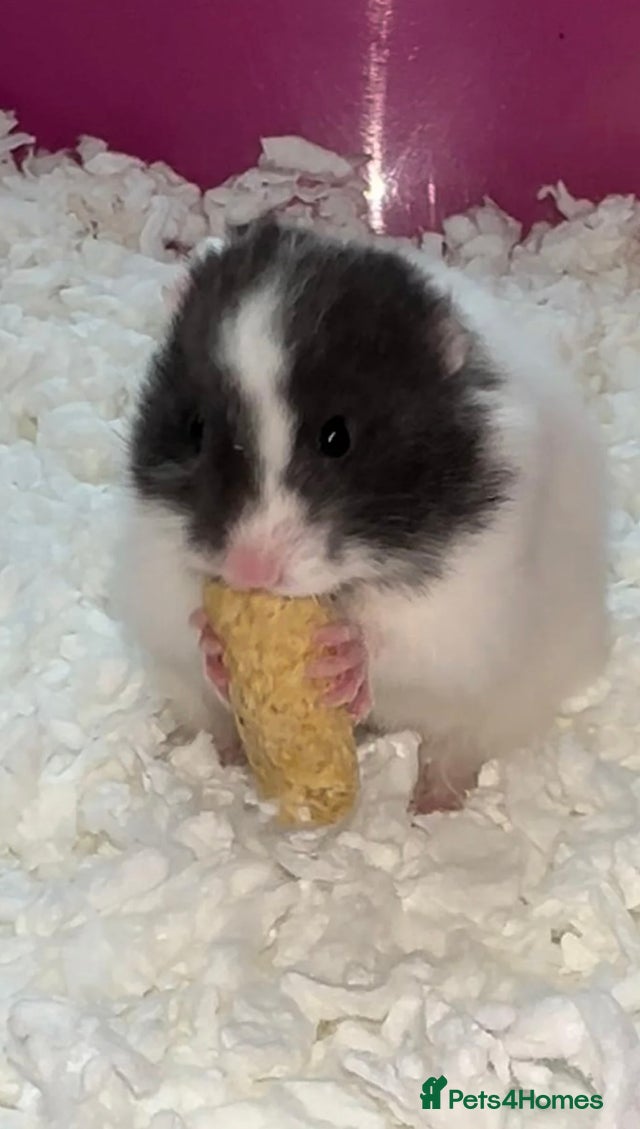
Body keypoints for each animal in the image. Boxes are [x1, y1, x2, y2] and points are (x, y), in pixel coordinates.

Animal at [113, 217, 609, 813]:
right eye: (195, 428)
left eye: (337, 437)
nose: (249, 571)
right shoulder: (156, 564)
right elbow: (183, 625)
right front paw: (214, 642)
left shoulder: (468, 611)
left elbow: (399, 642)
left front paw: (341, 656)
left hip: (510, 700)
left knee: (455, 749)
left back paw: (432, 806)